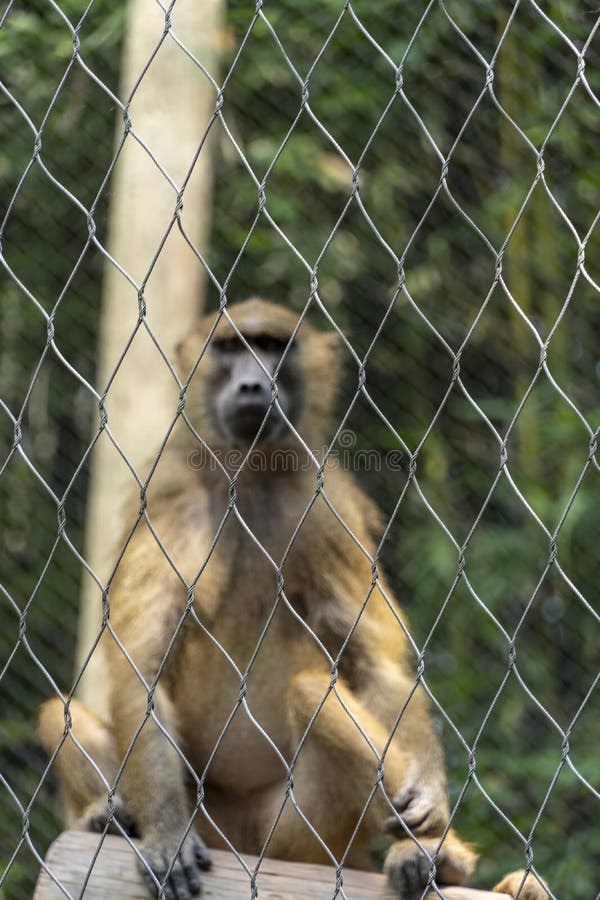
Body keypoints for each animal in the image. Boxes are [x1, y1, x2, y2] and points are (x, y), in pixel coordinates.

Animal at [39, 298, 550, 900]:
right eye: (231, 347)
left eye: (272, 347)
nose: (252, 386)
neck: (251, 473)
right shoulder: (168, 498)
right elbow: (140, 667)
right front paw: (164, 834)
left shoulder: (326, 508)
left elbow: (374, 662)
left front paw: (430, 800)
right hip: (217, 819)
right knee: (58, 713)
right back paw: (110, 817)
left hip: (300, 833)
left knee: (311, 690)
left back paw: (438, 857)